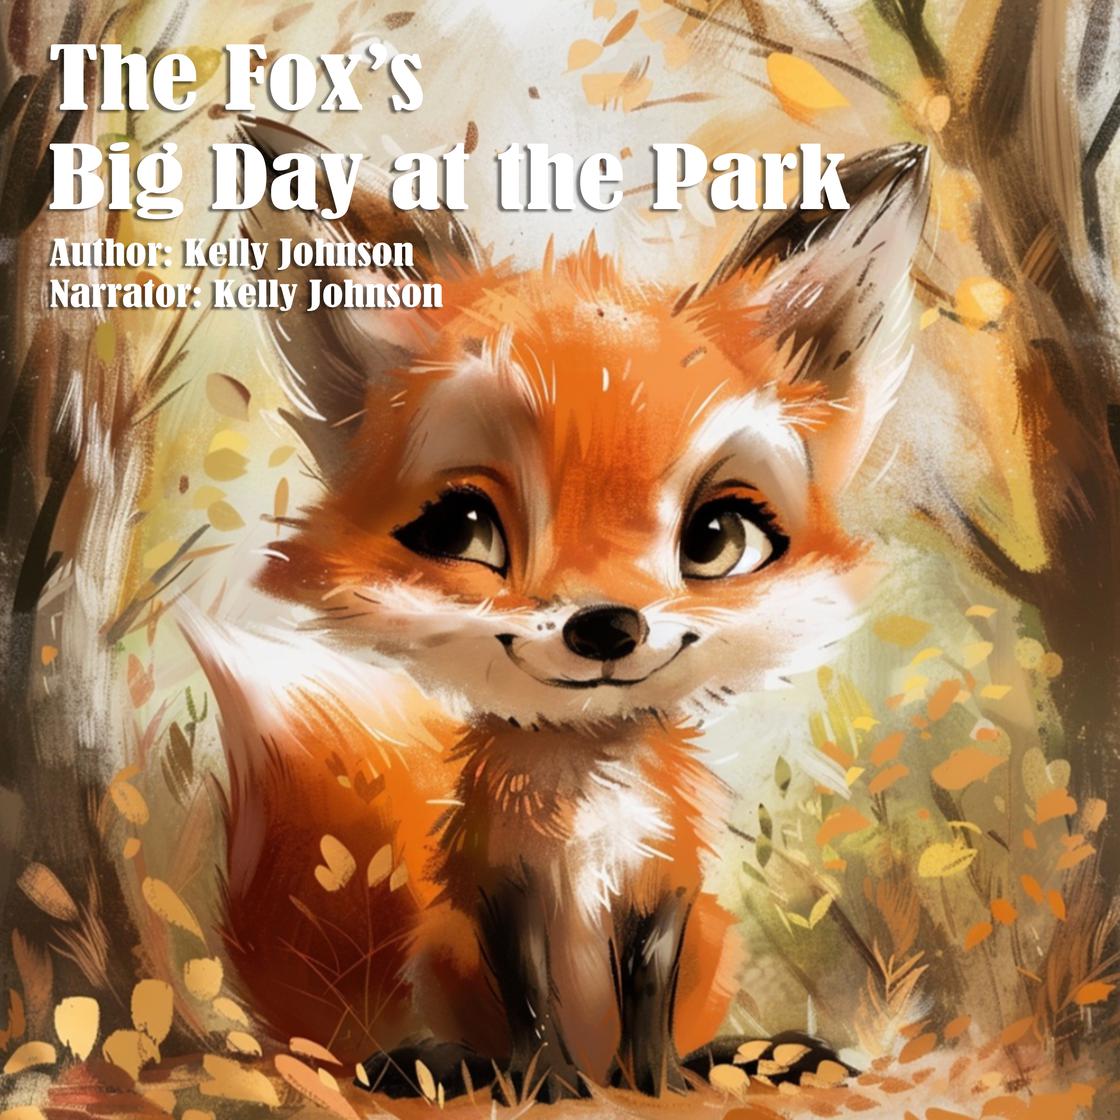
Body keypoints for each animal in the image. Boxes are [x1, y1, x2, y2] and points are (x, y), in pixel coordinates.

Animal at [184, 123, 929, 1102]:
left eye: (717, 537)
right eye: (463, 529)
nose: (607, 625)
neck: (588, 796)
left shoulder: (664, 885)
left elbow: (648, 1001)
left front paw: (655, 1087)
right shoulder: (501, 888)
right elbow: (532, 1002)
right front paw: (549, 1086)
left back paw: (739, 1059)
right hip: (444, 947)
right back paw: (440, 1065)